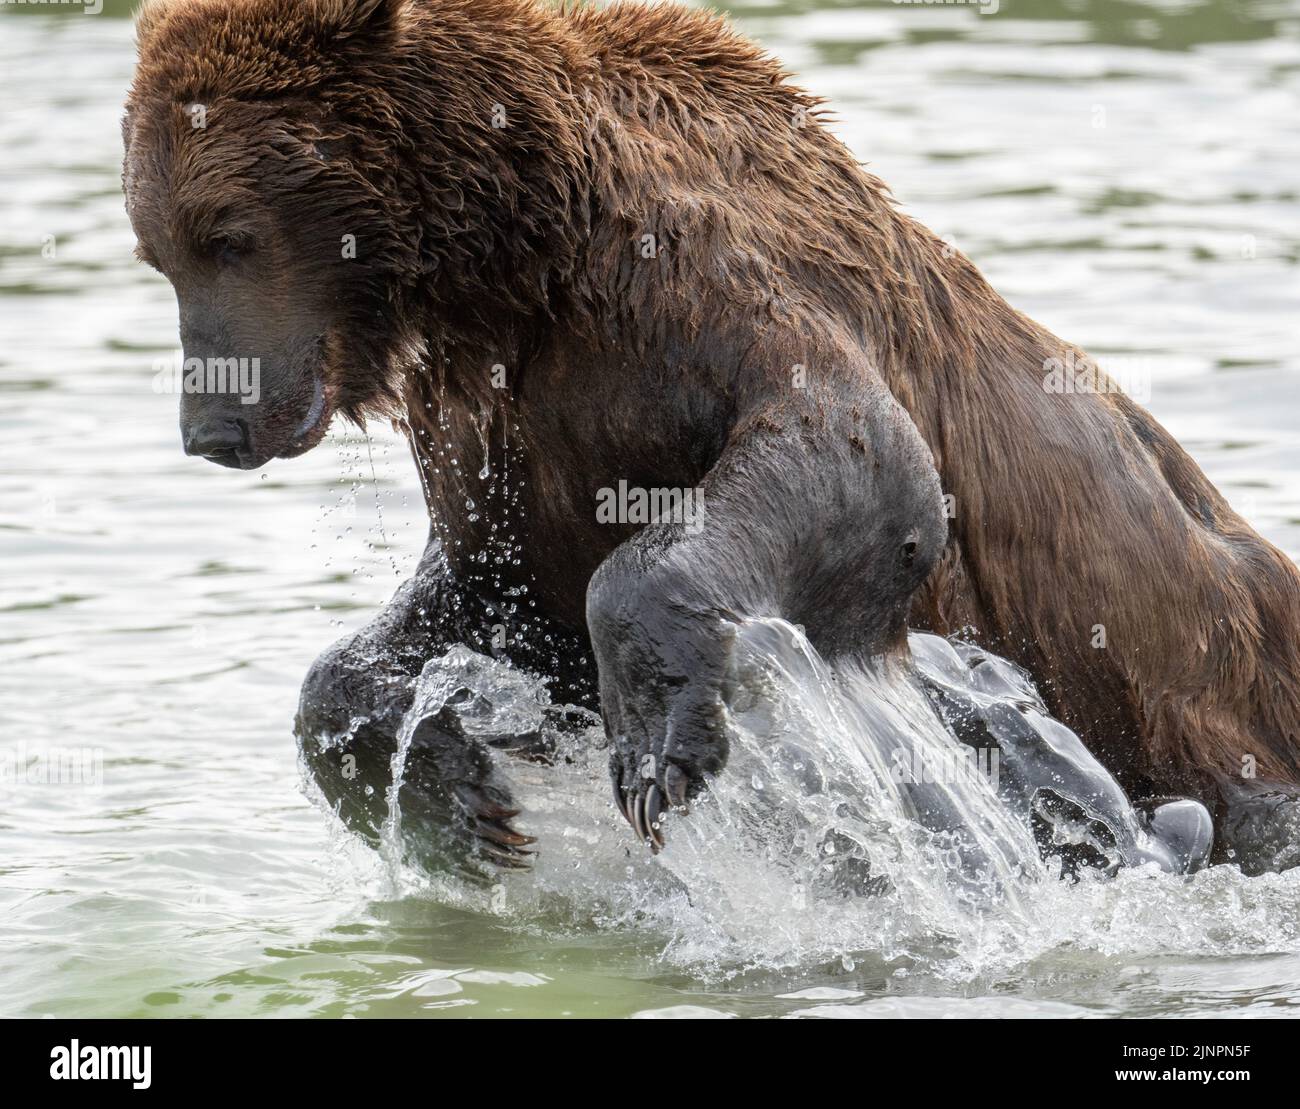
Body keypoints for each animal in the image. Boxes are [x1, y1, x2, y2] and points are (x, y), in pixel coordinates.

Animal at [122, 0, 1300, 875]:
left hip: (1208, 689)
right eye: (157, 249)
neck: (507, 257)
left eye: (229, 234)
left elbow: (855, 457)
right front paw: (453, 798)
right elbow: (487, 598)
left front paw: (659, 741)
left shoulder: (688, 282)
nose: (212, 424)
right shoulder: (499, 424)